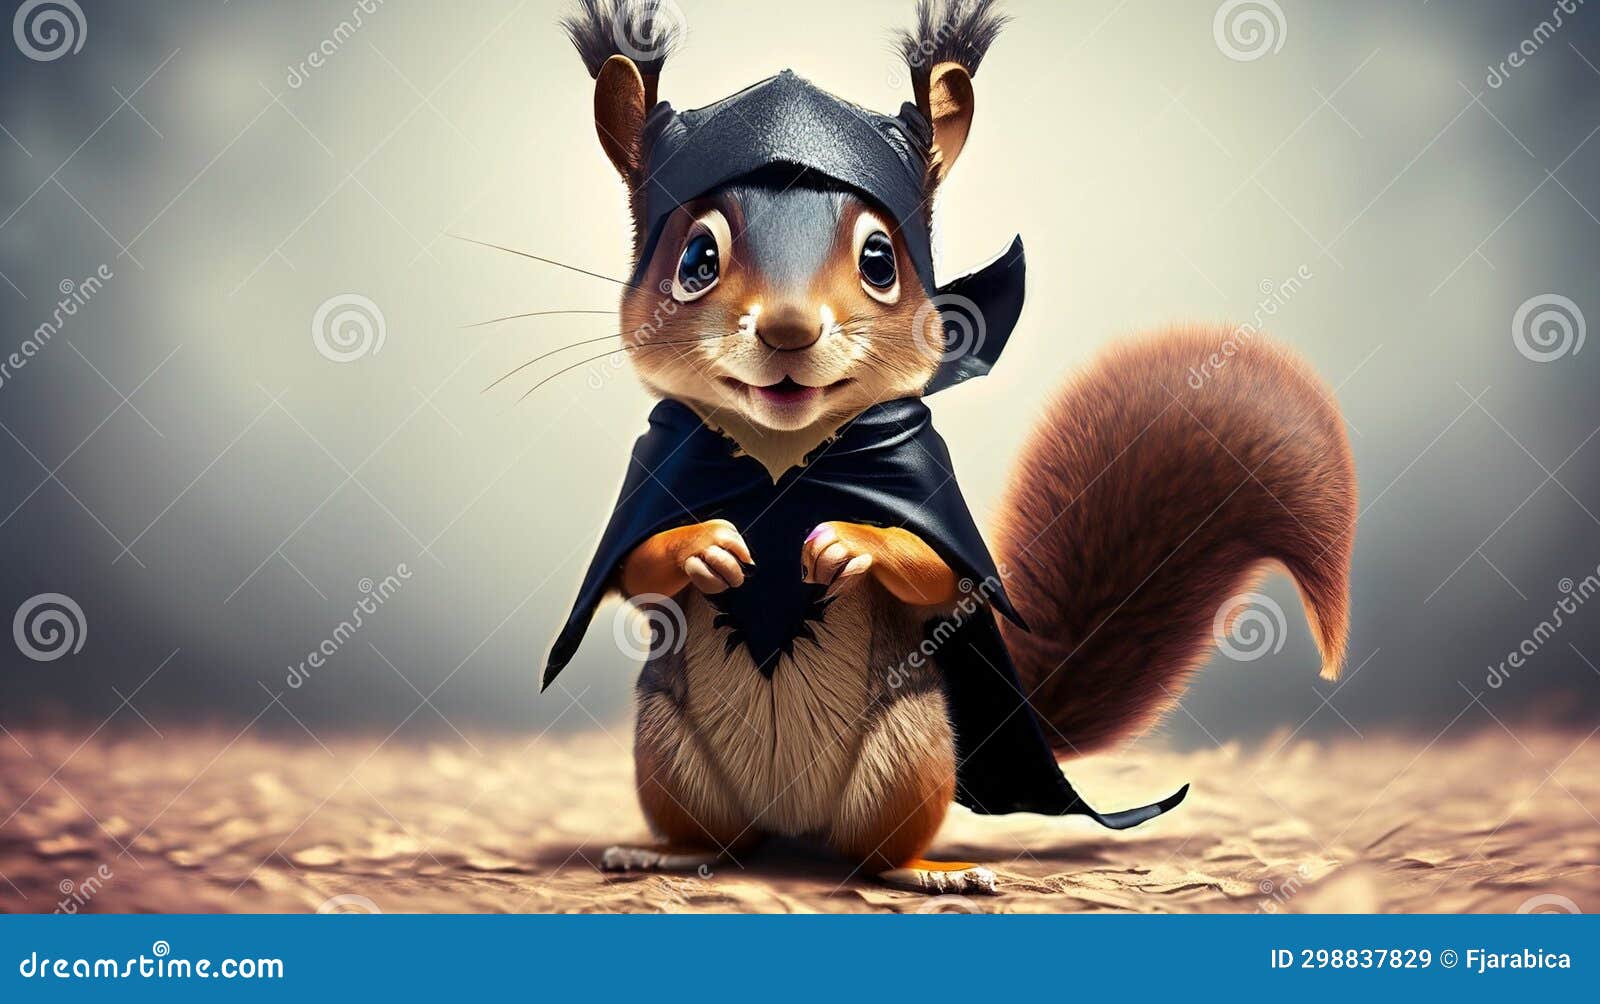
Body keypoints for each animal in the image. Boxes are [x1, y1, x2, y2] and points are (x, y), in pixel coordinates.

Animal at [542, 0, 1357, 895]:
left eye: (878, 259)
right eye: (695, 258)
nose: (789, 329)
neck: (782, 464)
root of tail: (795, 827)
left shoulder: (925, 481)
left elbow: (941, 574)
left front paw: (847, 543)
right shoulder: (656, 469)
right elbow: (634, 569)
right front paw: (710, 545)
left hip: (911, 746)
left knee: (873, 852)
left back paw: (931, 871)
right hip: (666, 746)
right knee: (726, 842)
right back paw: (664, 852)